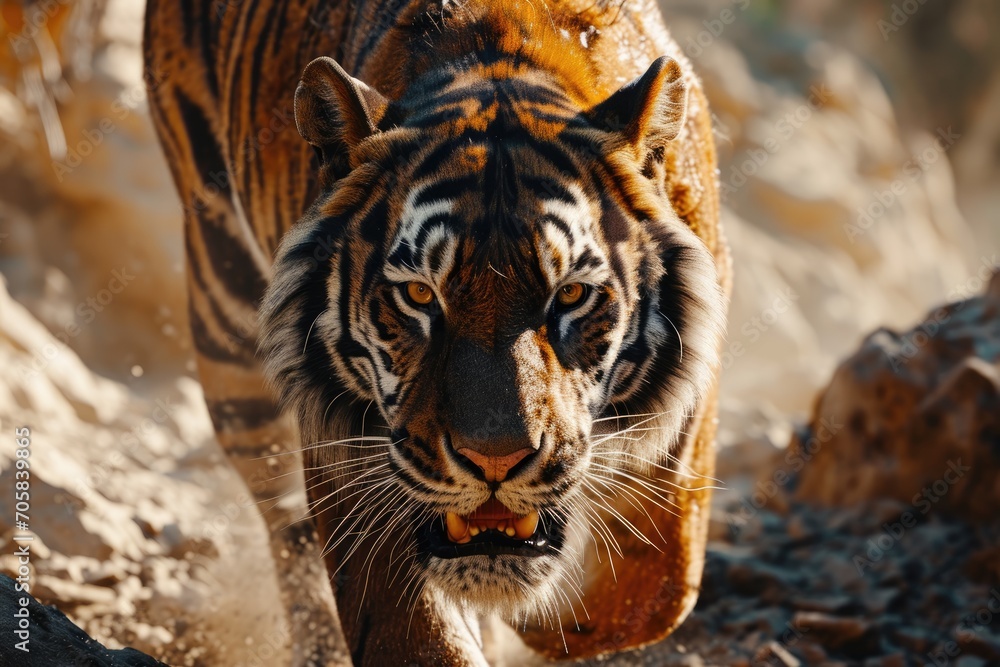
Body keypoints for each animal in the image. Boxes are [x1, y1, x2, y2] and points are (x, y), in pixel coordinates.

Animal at [143, 0, 730, 664]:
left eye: (570, 295)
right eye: (420, 294)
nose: (496, 461)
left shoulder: (685, 419)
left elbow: (659, 586)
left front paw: (543, 624)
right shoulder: (352, 456)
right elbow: (419, 636)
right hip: (223, 314)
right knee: (283, 524)